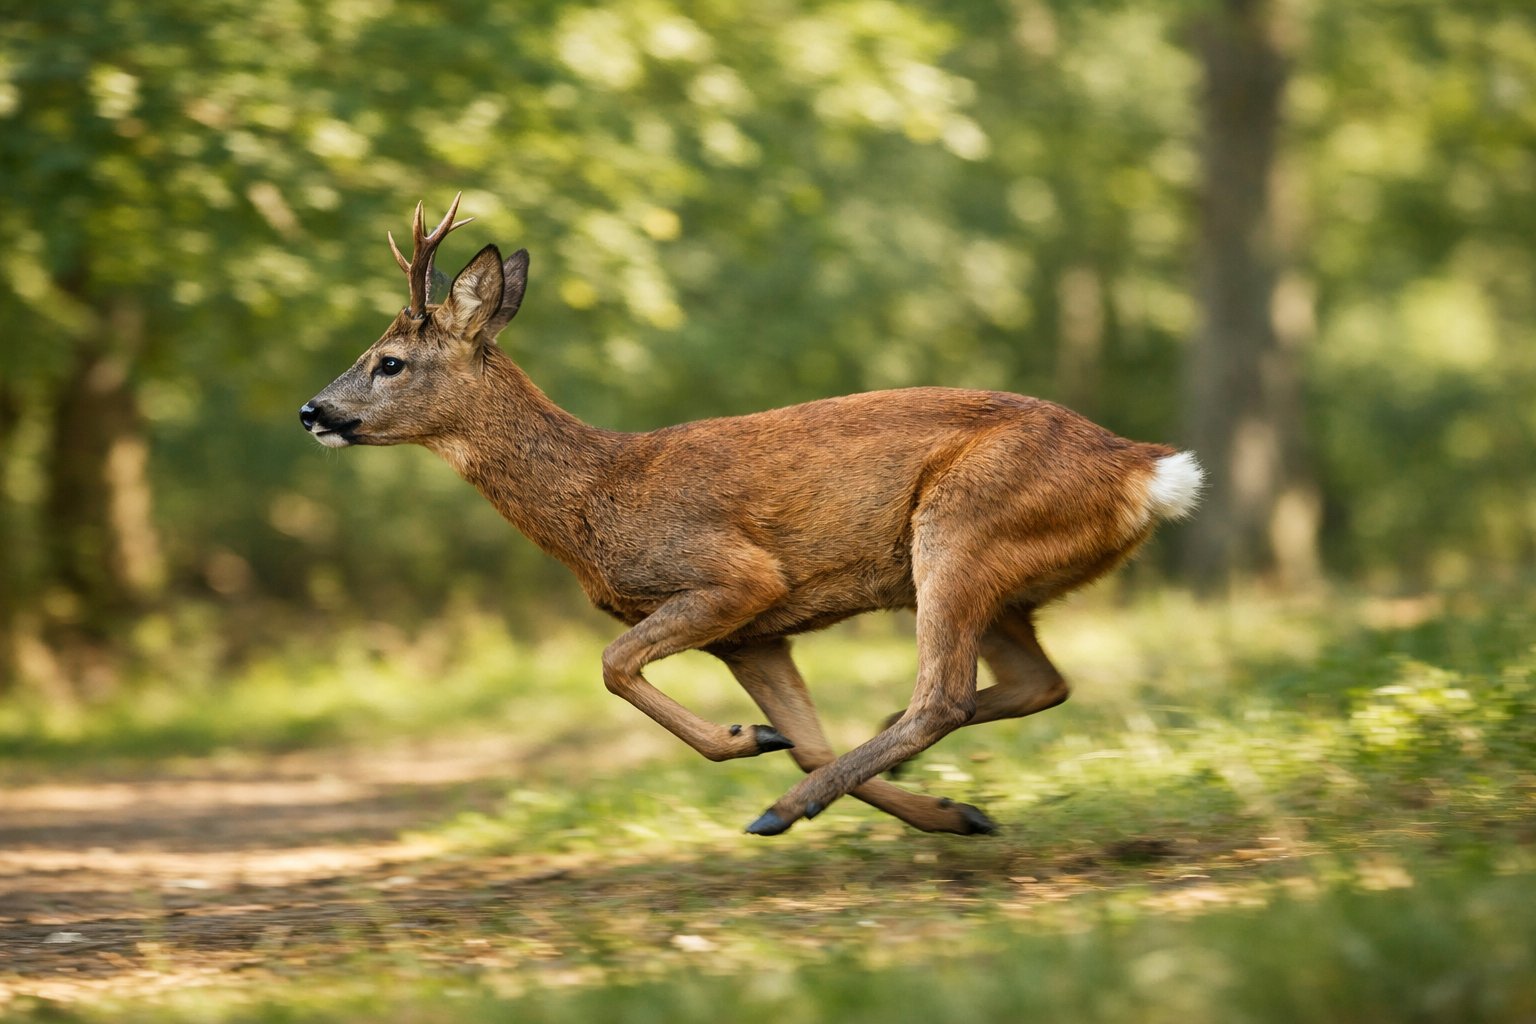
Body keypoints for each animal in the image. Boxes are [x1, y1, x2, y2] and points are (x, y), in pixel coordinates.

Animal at [300, 194, 1204, 837]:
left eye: (389, 361)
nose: (312, 410)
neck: (597, 499)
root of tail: (1143, 466)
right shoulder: (754, 634)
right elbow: (805, 736)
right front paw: (948, 812)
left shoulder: (737, 576)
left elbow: (614, 664)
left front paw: (747, 745)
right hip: (1000, 582)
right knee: (1039, 682)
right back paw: (911, 791)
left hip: (960, 530)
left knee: (943, 696)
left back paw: (787, 806)